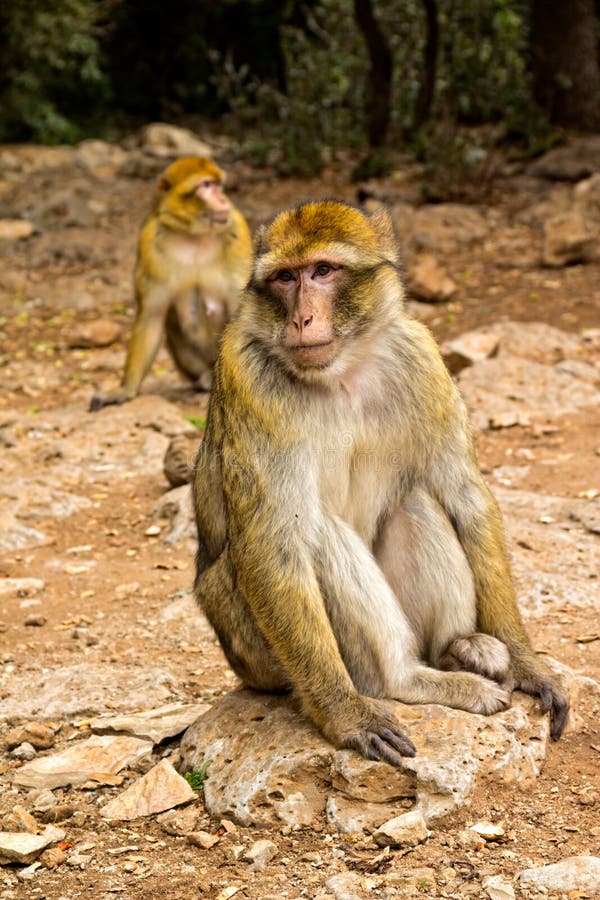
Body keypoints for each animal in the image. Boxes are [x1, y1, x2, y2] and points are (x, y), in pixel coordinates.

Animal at [90, 157, 252, 411]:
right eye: (206, 185)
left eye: (218, 184)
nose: (223, 199)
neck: (193, 235)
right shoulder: (149, 240)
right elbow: (152, 315)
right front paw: (124, 389)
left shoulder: (237, 230)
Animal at [192, 201, 569, 767]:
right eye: (284, 278)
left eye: (323, 270)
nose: (302, 318)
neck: (340, 372)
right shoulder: (246, 377)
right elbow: (272, 544)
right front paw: (344, 714)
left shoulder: (422, 357)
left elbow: (465, 499)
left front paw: (528, 665)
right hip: (253, 650)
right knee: (317, 533)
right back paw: (406, 680)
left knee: (415, 500)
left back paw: (456, 649)